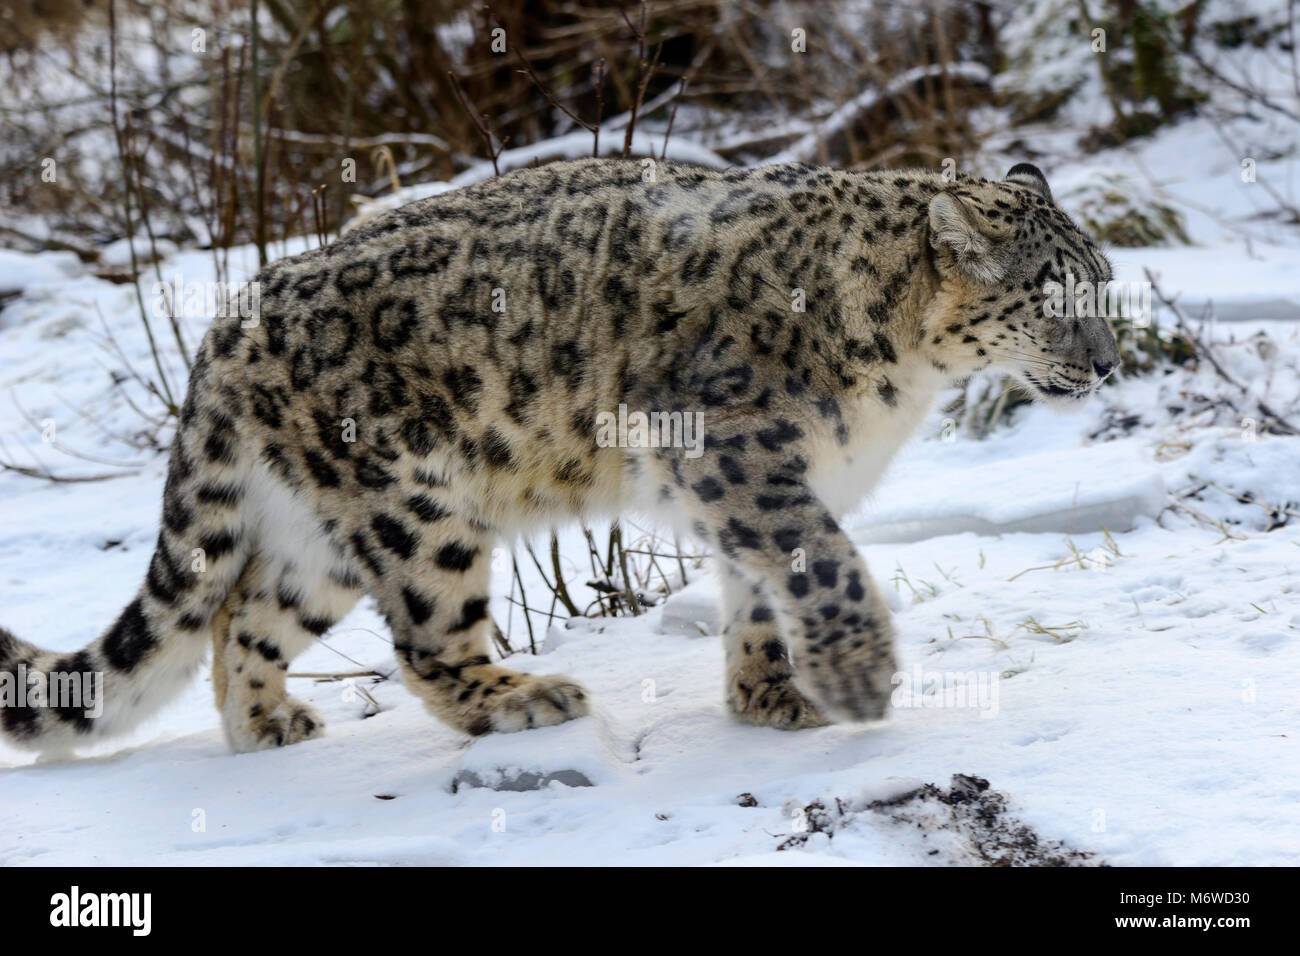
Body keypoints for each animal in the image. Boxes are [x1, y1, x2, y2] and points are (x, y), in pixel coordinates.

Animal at [0, 157, 1118, 756]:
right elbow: (824, 561)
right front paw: (856, 679)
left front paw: (773, 696)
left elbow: (763, 586)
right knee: (424, 641)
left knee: (243, 614)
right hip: (417, 508)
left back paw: (267, 723)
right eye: (1054, 296)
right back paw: (521, 697)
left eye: (1103, 281)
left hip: (318, 535)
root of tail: (229, 319)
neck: (900, 373)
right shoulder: (737, 453)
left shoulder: (760, 485)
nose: (1110, 362)